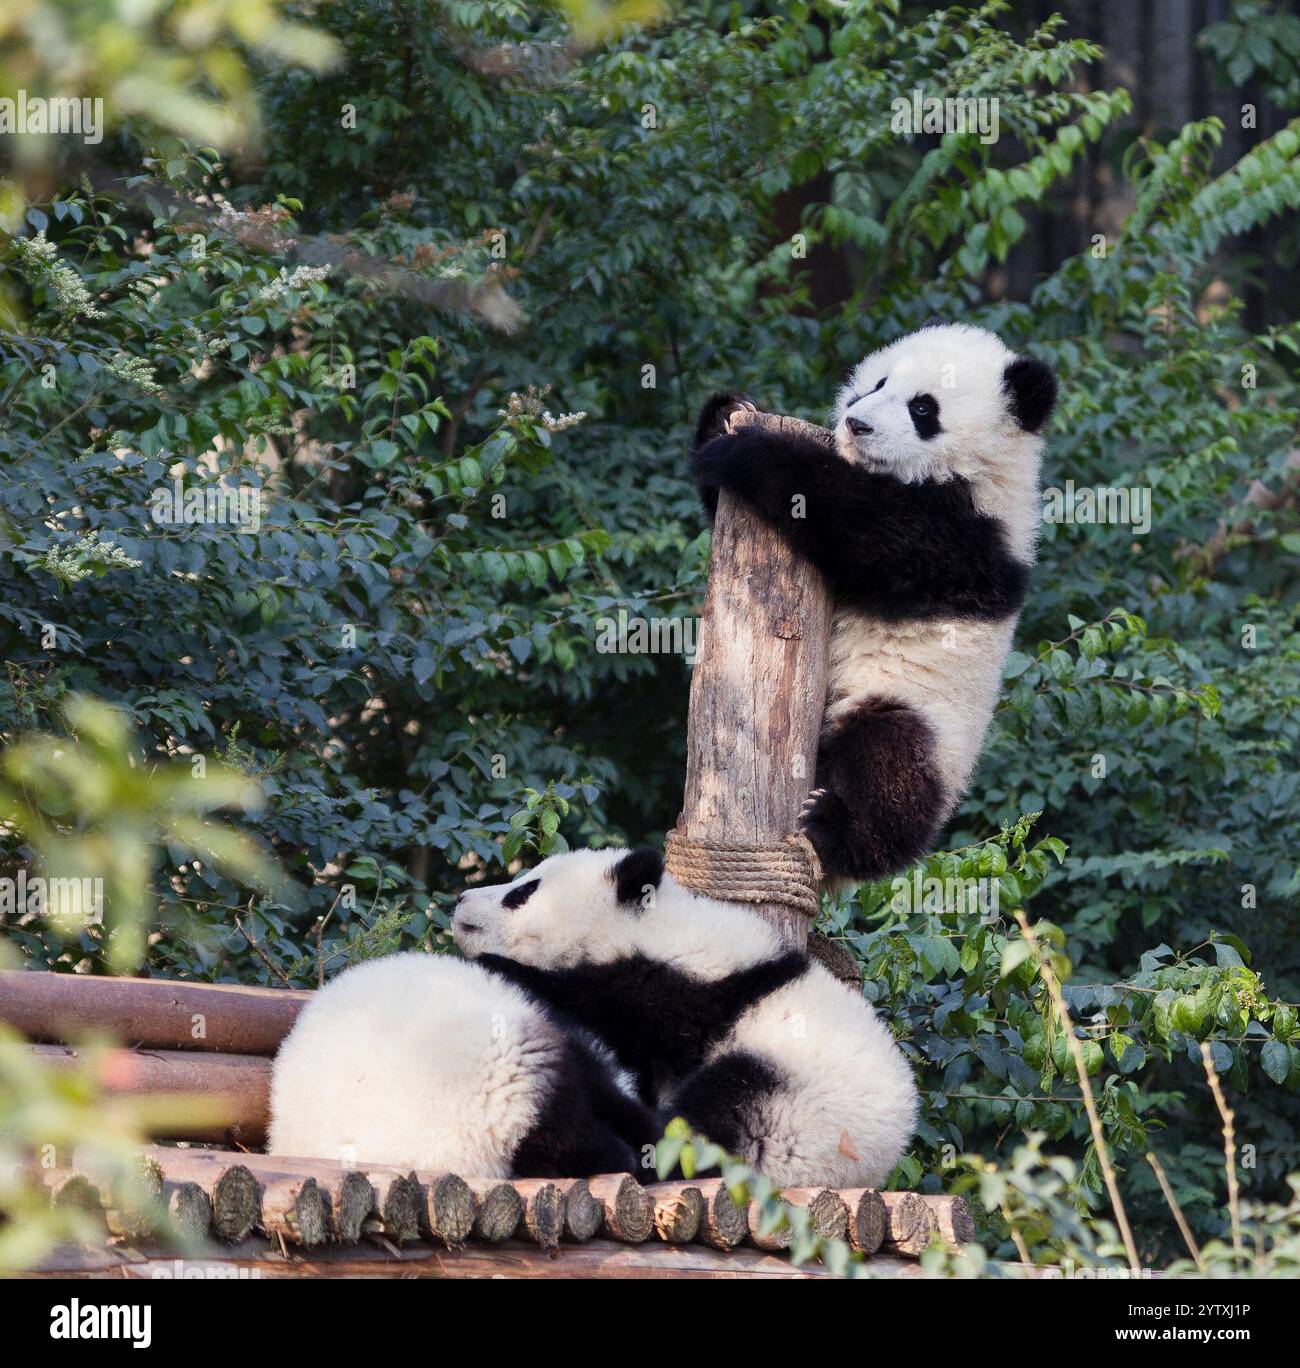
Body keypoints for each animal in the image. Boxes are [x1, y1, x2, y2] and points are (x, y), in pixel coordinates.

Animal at [454, 846, 918, 1189]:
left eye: (523, 891)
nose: (460, 901)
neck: (655, 927)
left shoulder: (692, 991)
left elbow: (615, 1007)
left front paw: (501, 967)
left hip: (792, 1103)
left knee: (697, 1130)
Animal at [692, 322, 1056, 884]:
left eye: (923, 408)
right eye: (878, 383)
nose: (856, 423)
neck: (975, 471)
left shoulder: (965, 536)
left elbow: (861, 524)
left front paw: (751, 451)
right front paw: (725, 414)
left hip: (926, 716)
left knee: (891, 762)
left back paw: (838, 829)